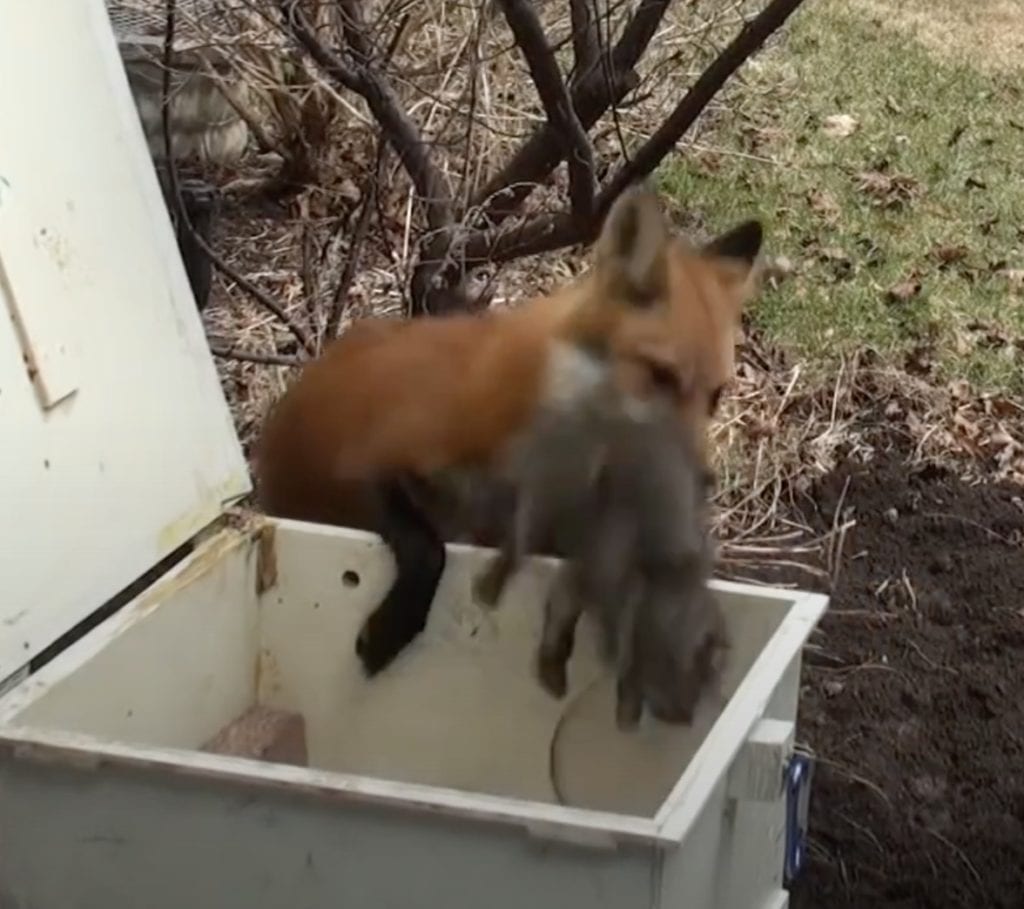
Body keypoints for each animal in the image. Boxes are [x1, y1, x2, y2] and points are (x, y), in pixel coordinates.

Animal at [254, 183, 764, 678]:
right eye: (661, 376)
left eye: (715, 395)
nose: (705, 481)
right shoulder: (364, 462)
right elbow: (428, 549)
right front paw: (388, 635)